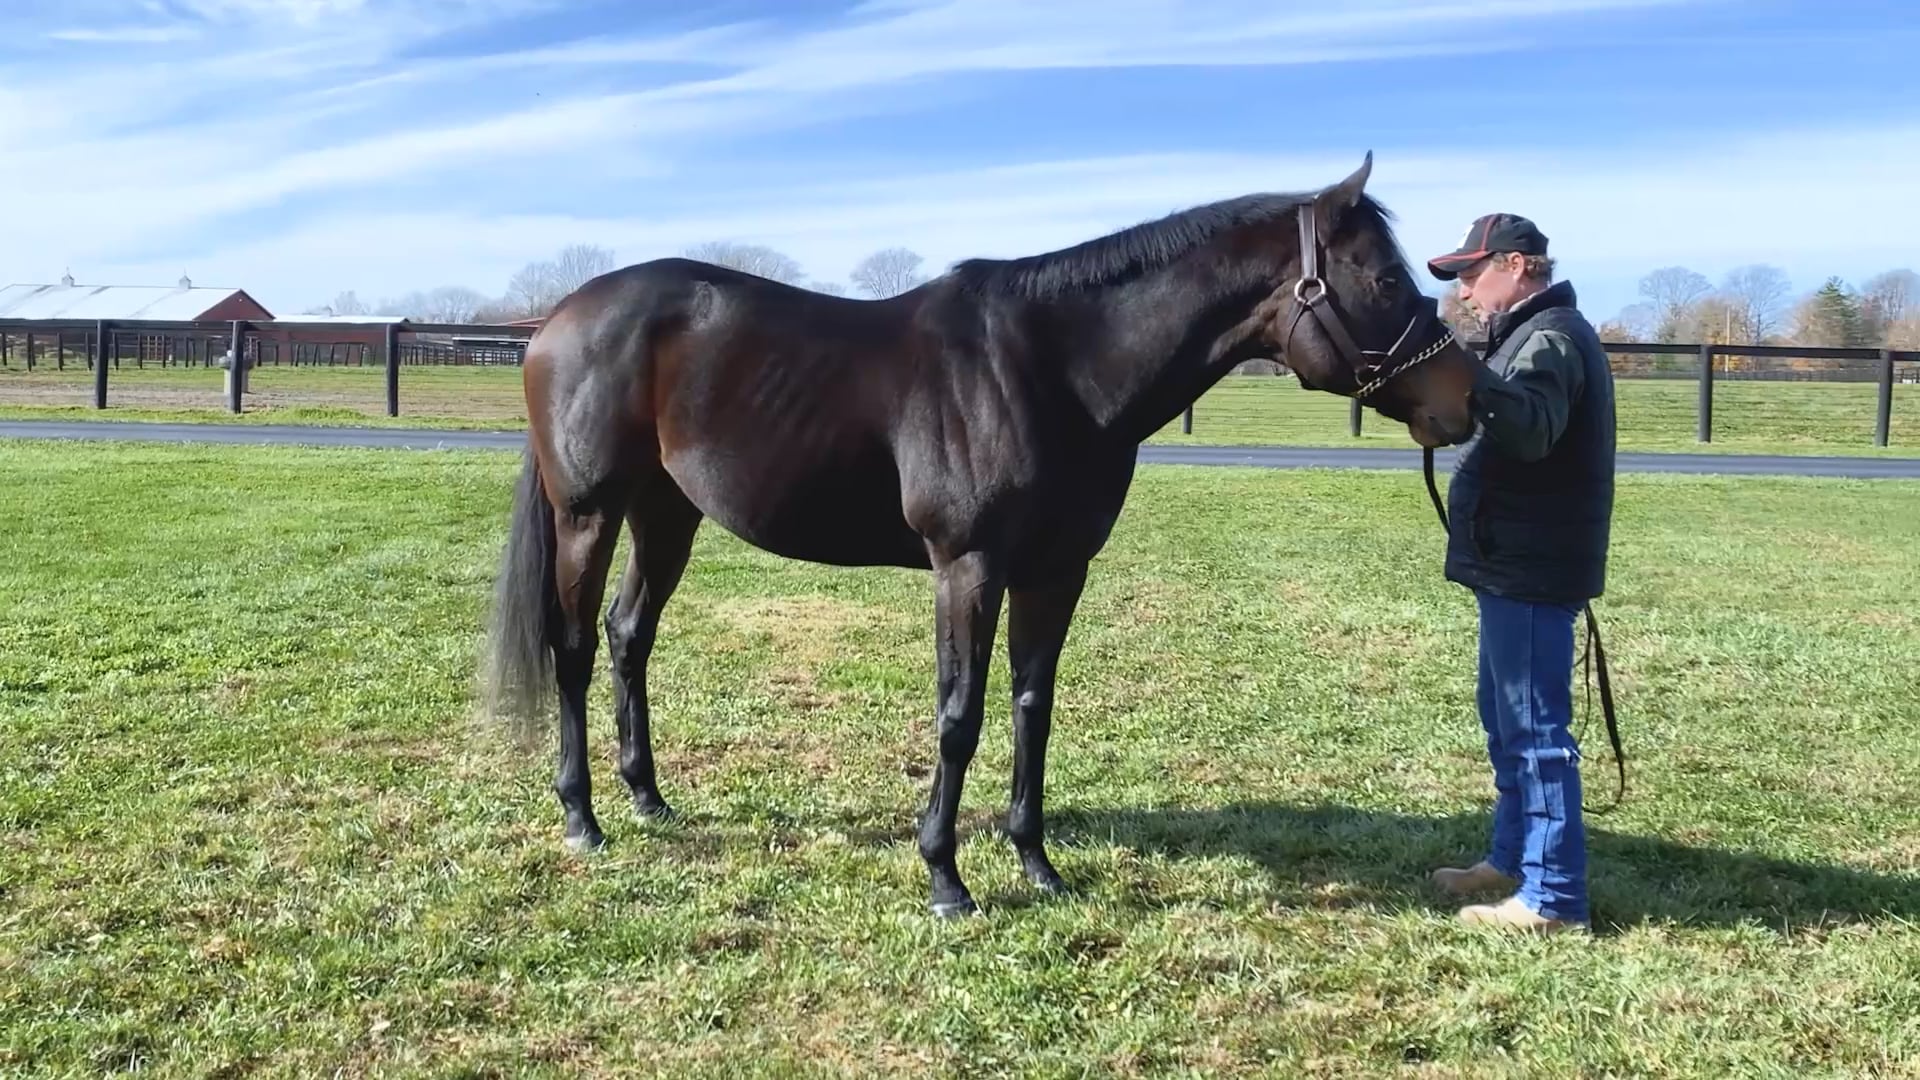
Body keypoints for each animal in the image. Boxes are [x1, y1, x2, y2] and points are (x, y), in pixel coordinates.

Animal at [480, 152, 1483, 917]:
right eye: (1384, 279)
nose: (1466, 401)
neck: (1051, 371)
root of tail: (560, 319)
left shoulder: (1057, 571)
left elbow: (1032, 708)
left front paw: (1037, 863)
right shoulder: (968, 568)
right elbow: (959, 715)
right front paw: (946, 878)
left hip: (667, 513)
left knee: (629, 637)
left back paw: (648, 798)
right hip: (588, 513)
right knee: (575, 646)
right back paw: (583, 818)